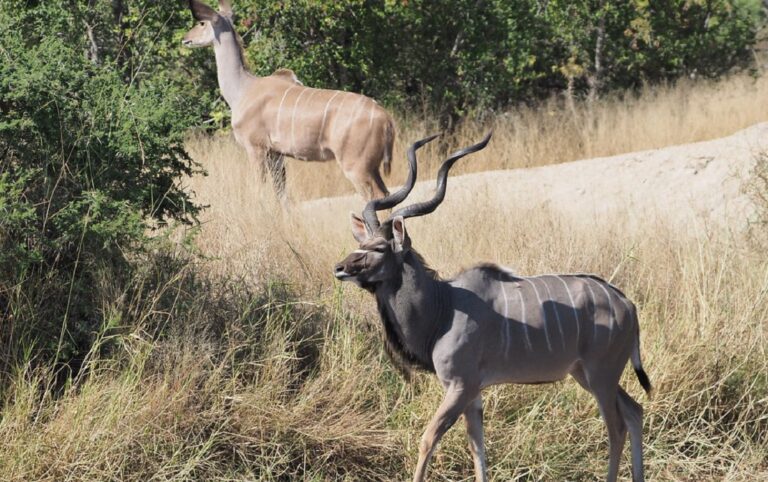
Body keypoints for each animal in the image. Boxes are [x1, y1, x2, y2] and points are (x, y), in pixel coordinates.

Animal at [183, 0, 395, 200]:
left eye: (201, 22)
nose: (186, 39)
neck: (242, 89)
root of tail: (386, 119)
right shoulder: (276, 154)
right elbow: (281, 194)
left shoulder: (256, 149)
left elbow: (260, 191)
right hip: (371, 167)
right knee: (386, 194)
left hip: (355, 166)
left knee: (375, 196)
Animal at [333, 133, 652, 482]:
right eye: (361, 244)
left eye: (379, 248)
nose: (340, 268)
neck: (444, 307)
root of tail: (627, 304)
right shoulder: (472, 393)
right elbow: (478, 446)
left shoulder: (460, 387)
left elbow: (428, 439)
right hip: (588, 374)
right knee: (635, 411)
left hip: (600, 376)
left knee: (617, 427)